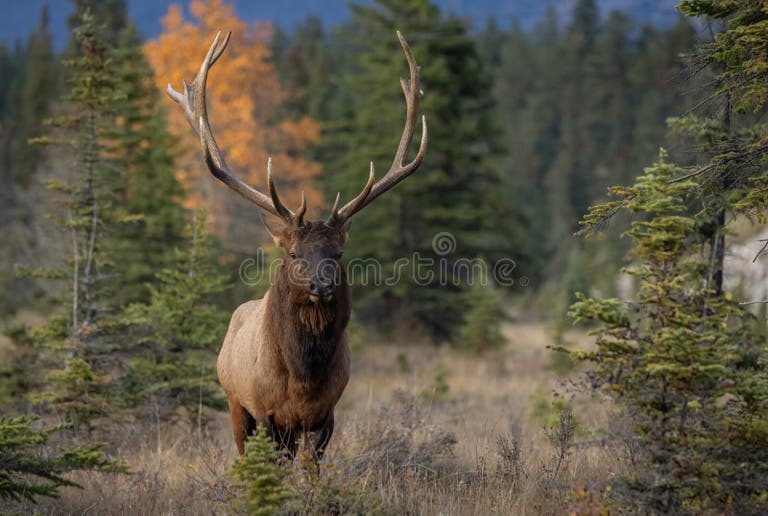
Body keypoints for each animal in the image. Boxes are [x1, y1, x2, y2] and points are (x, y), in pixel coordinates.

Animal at [166, 31, 427, 458]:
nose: (322, 285)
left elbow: (313, 467)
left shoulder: (327, 415)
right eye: (293, 253)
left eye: (338, 252)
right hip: (235, 403)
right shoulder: (268, 413)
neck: (303, 381)